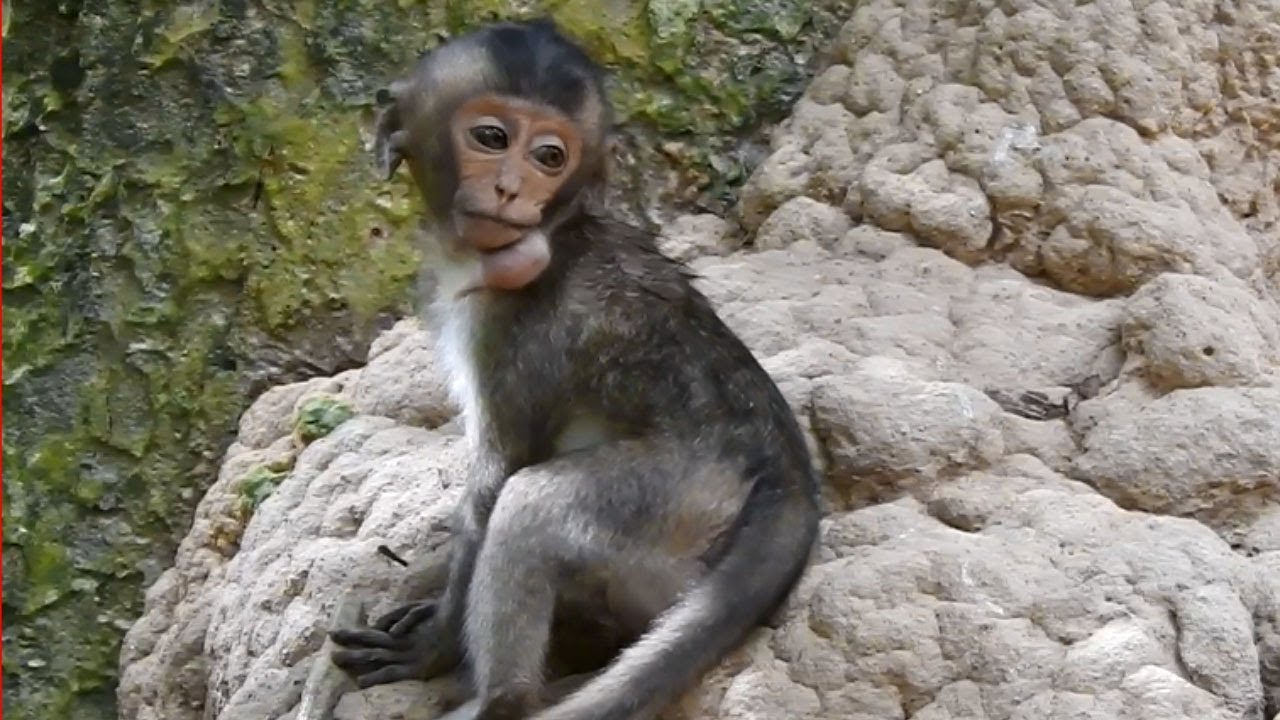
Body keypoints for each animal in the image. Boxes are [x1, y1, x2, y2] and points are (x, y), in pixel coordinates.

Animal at [329, 18, 821, 720]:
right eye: (491, 138)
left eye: (549, 157)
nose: (510, 188)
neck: (559, 234)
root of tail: (790, 484)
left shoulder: (517, 335)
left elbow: (497, 478)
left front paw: (434, 646)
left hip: (676, 514)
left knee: (531, 504)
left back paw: (504, 700)